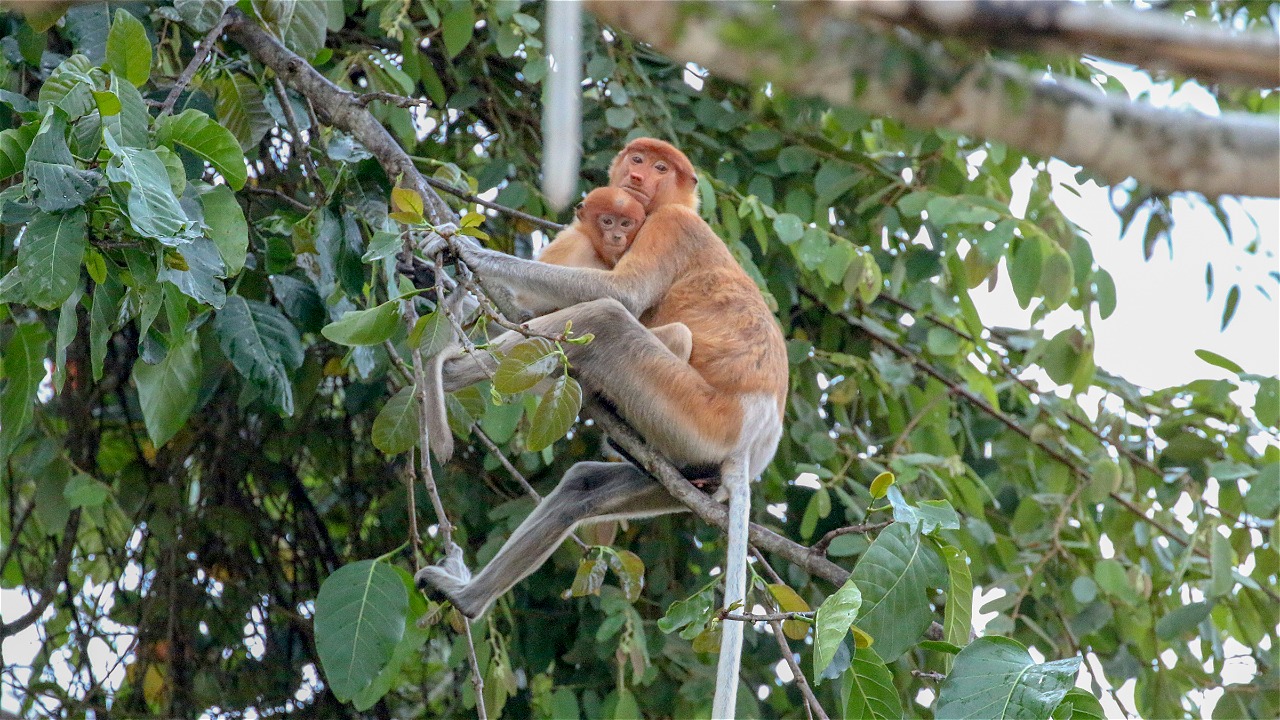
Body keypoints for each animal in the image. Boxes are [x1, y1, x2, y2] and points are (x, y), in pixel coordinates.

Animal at [417, 139, 786, 719]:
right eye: (638, 158)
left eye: (660, 167)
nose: (637, 175)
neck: (676, 206)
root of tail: (752, 437)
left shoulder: (671, 226)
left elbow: (624, 293)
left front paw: (463, 250)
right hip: (680, 466)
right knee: (582, 487)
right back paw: (467, 597)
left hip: (696, 414)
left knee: (608, 317)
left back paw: (442, 369)